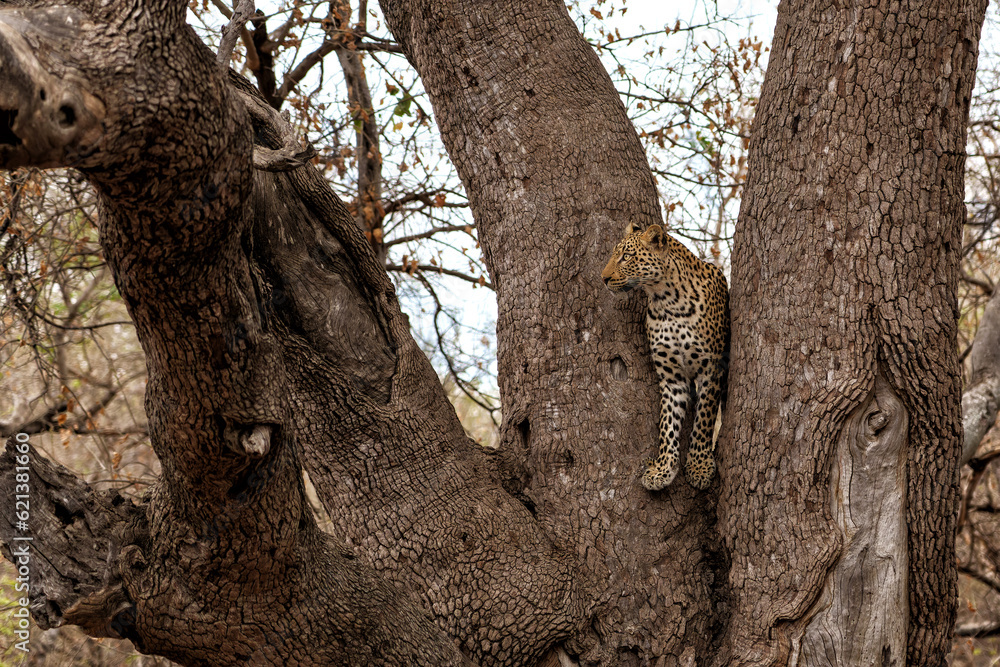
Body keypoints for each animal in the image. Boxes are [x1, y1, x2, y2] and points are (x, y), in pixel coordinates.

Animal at [601, 222, 730, 490]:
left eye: (626, 256)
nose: (603, 278)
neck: (668, 301)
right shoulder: (672, 378)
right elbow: (668, 424)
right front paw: (662, 469)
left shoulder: (711, 369)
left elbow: (704, 419)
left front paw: (699, 466)